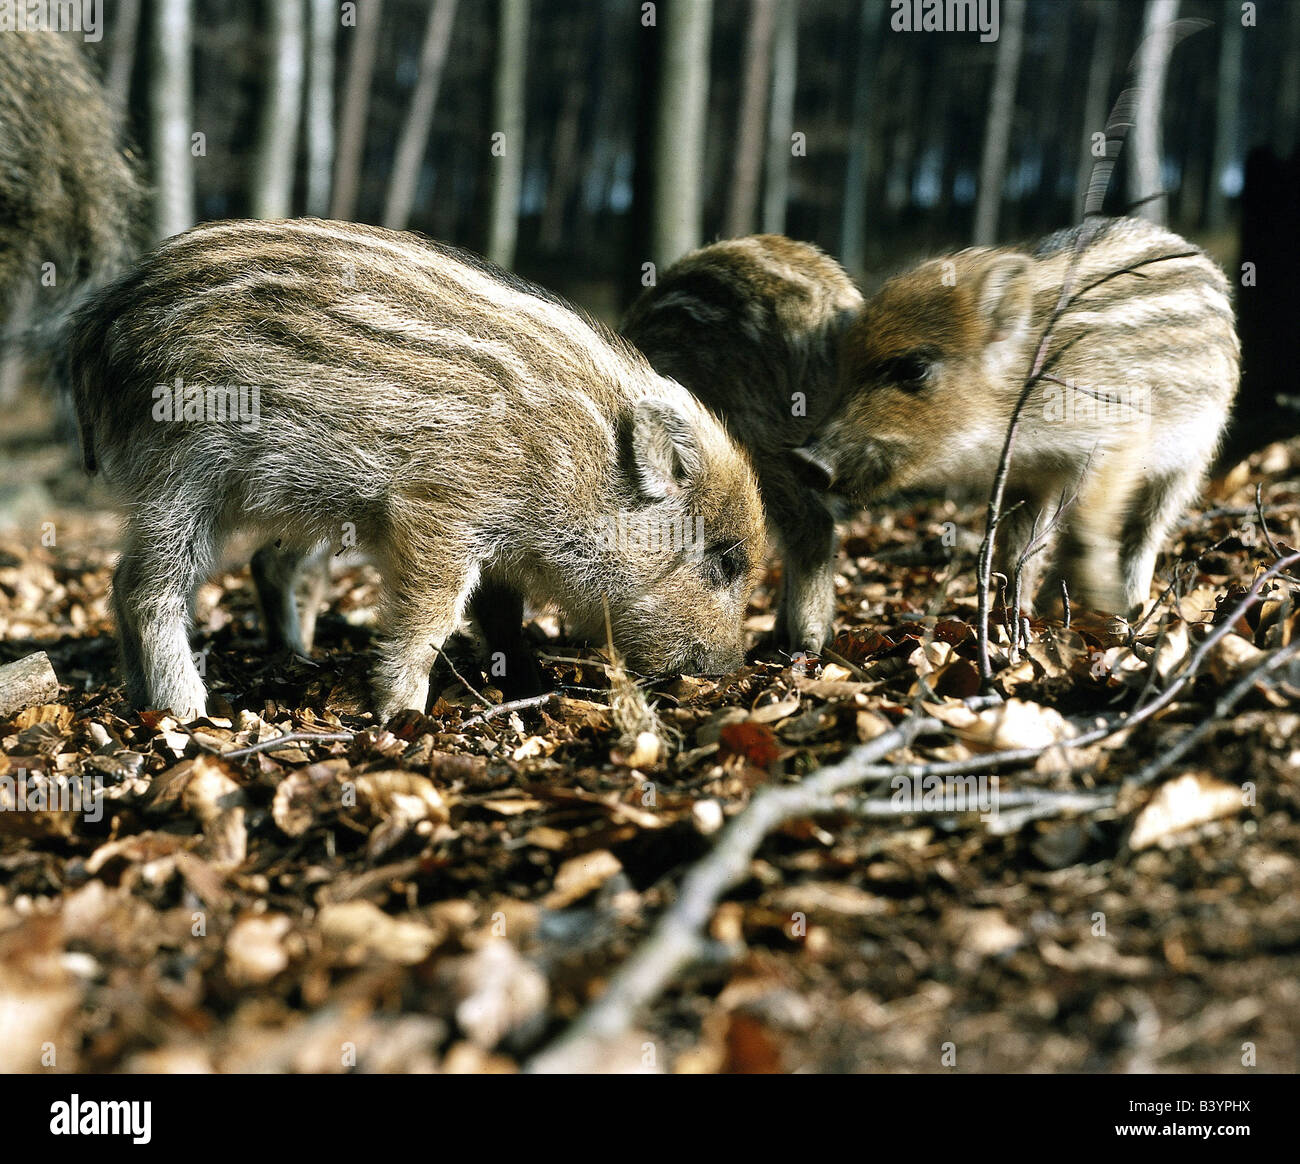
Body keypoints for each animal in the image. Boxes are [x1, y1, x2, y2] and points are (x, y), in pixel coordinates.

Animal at [65, 217, 766, 720]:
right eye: (722, 561)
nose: (732, 669)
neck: (584, 463)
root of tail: (100, 320)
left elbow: (500, 615)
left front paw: (528, 684)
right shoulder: (441, 512)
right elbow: (430, 617)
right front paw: (401, 714)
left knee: (148, 579)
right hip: (182, 475)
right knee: (145, 588)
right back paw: (187, 710)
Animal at [798, 216, 1240, 617]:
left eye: (914, 369)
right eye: (844, 368)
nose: (806, 461)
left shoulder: (1121, 434)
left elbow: (1086, 526)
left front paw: (1098, 605)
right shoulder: (1029, 474)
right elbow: (1016, 552)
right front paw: (1013, 622)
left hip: (1193, 455)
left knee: (1147, 529)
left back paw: (1129, 609)